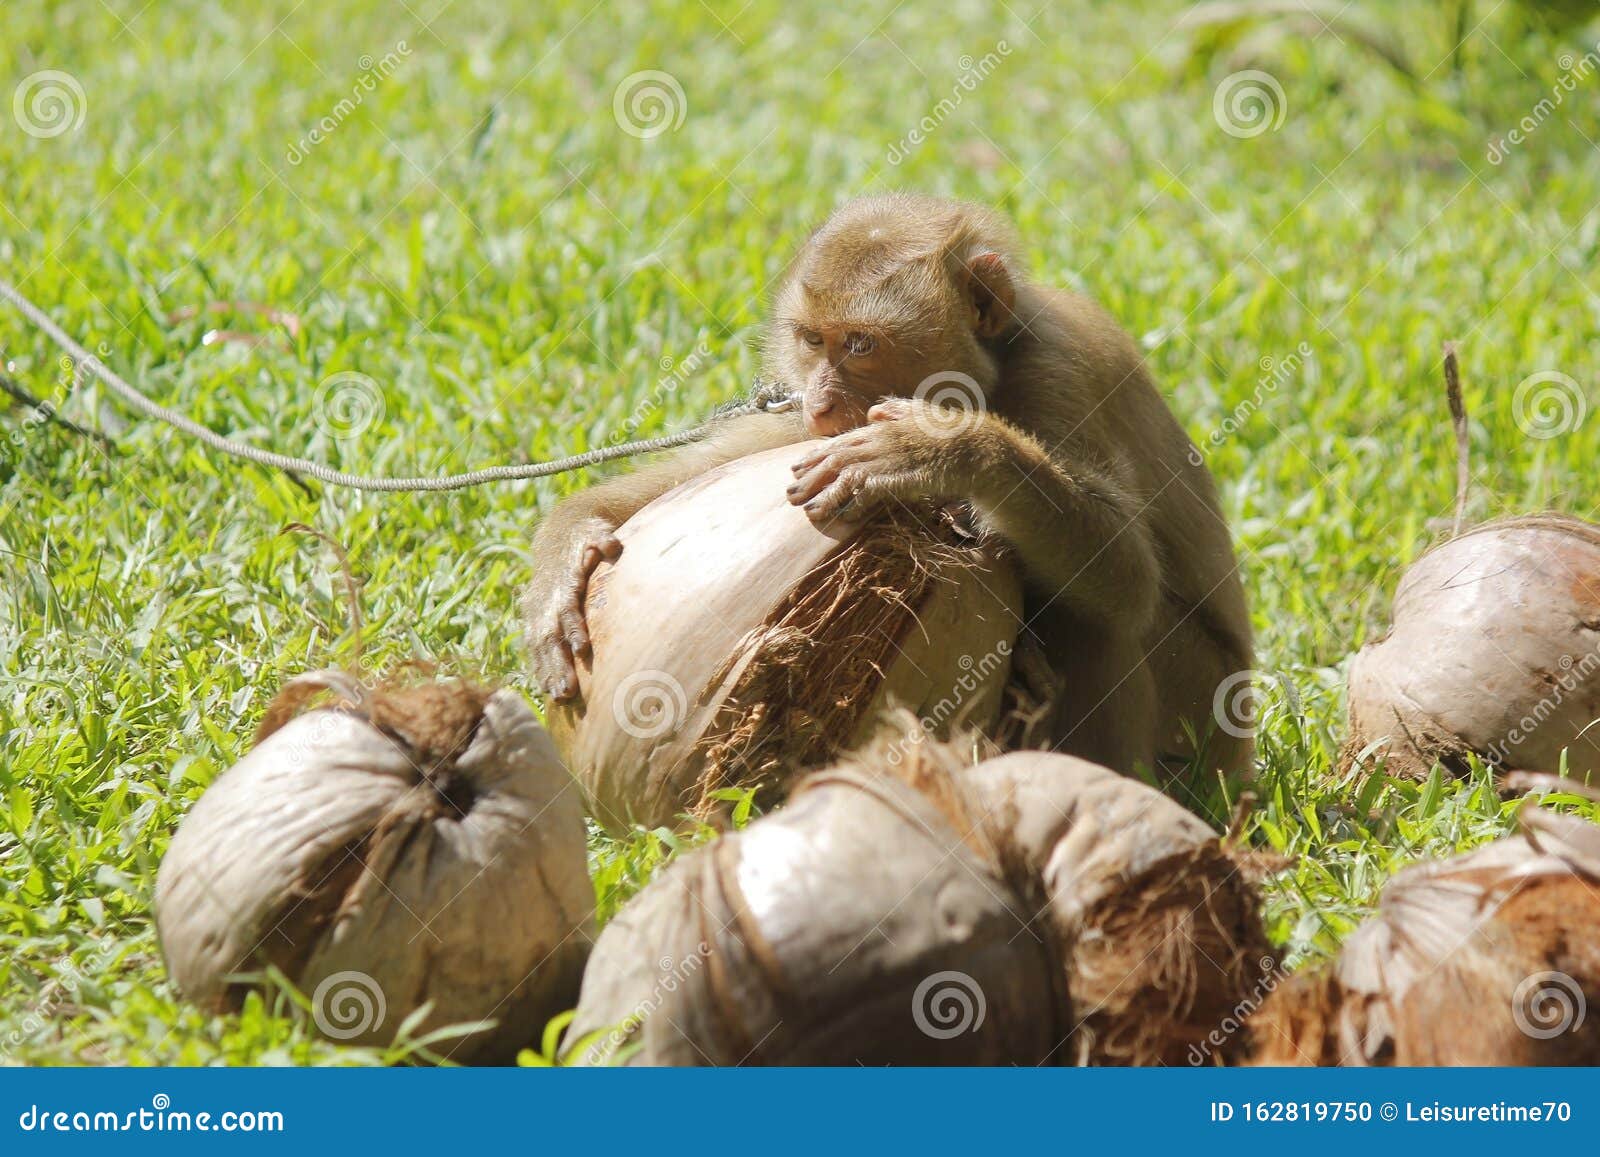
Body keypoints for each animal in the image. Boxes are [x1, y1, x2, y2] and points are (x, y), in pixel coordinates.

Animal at [523, 193, 1254, 778]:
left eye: (861, 345)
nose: (821, 402)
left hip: (1202, 713)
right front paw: (564, 558)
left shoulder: (1059, 374)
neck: (997, 366)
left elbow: (1129, 580)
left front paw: (943, 448)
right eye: (812, 340)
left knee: (1100, 618)